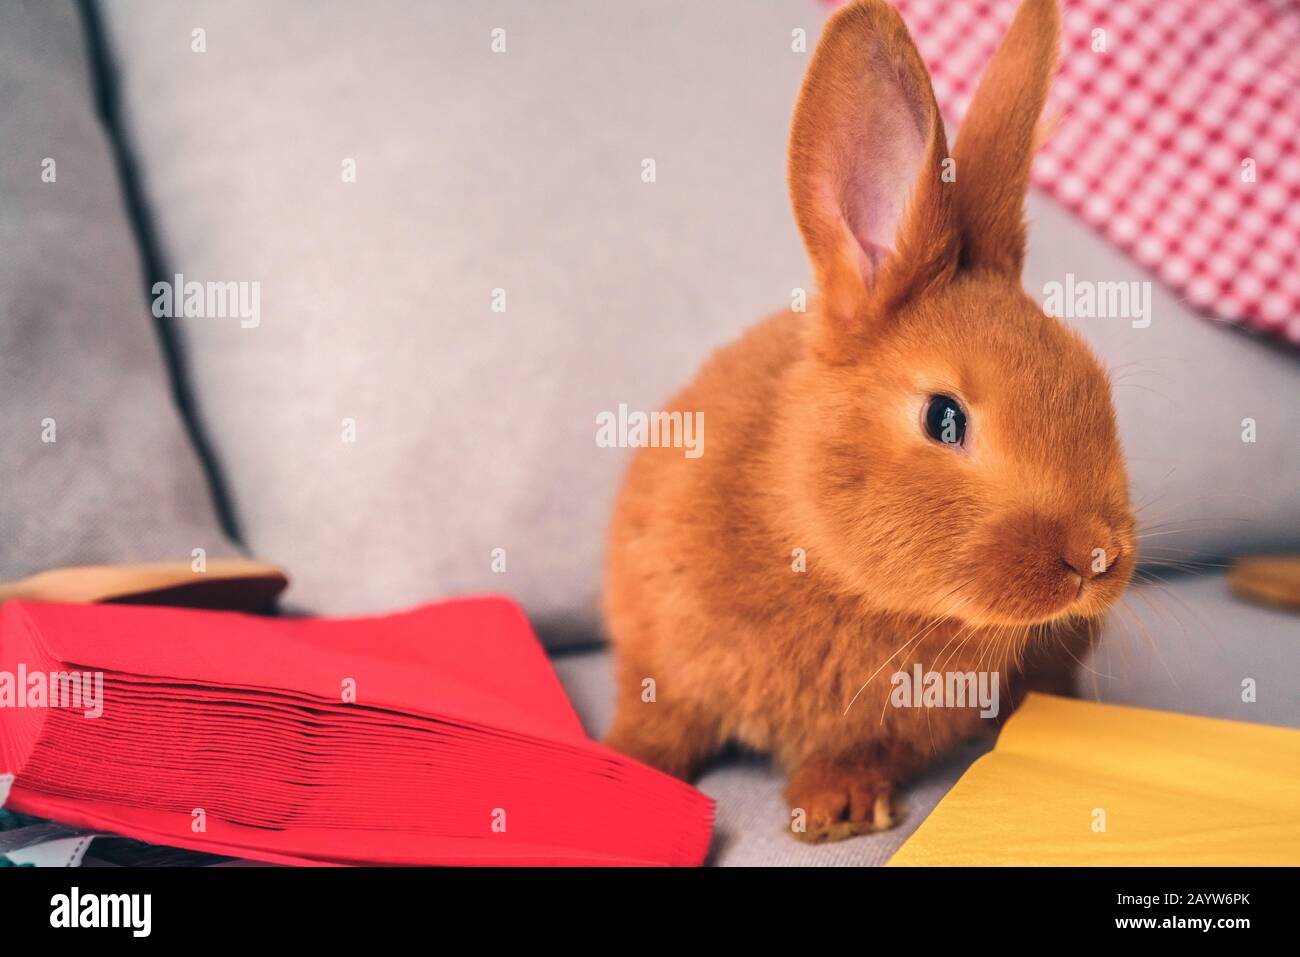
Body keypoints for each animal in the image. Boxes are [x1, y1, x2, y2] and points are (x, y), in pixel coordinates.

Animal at [602, 0, 1137, 844]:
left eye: (1093, 382)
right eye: (944, 418)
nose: (1098, 556)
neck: (823, 559)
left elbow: (859, 748)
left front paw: (836, 807)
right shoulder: (658, 657)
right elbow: (656, 722)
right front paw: (617, 771)